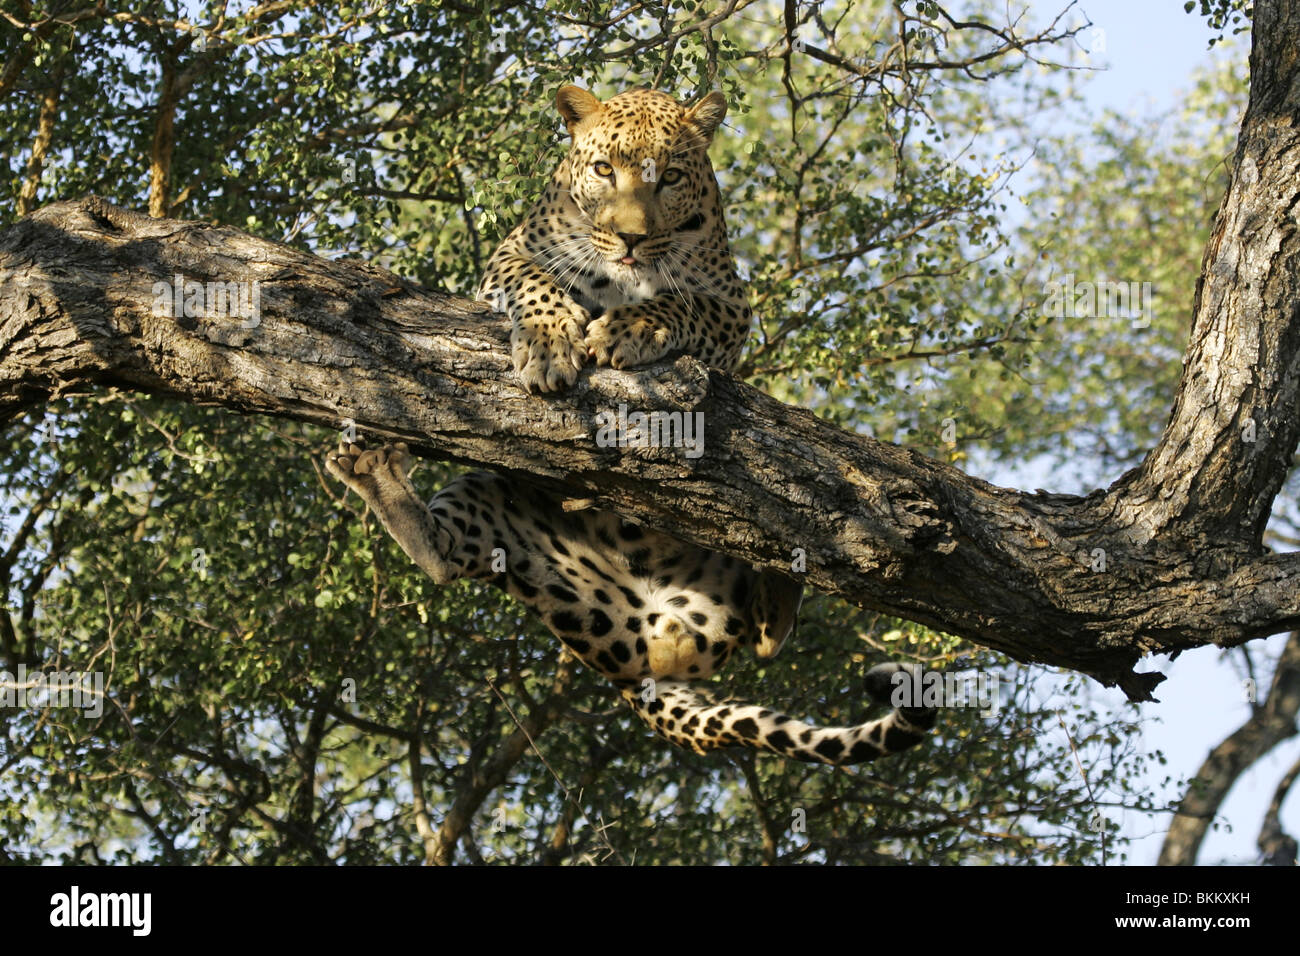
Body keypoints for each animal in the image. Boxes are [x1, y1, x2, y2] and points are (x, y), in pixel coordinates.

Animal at [325, 86, 936, 765]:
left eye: (668, 177)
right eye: (602, 170)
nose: (630, 239)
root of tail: (641, 650)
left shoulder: (731, 306)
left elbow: (679, 302)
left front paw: (627, 329)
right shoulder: (510, 257)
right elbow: (537, 283)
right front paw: (548, 346)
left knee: (766, 637)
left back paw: (784, 567)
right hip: (501, 515)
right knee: (445, 559)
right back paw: (373, 471)